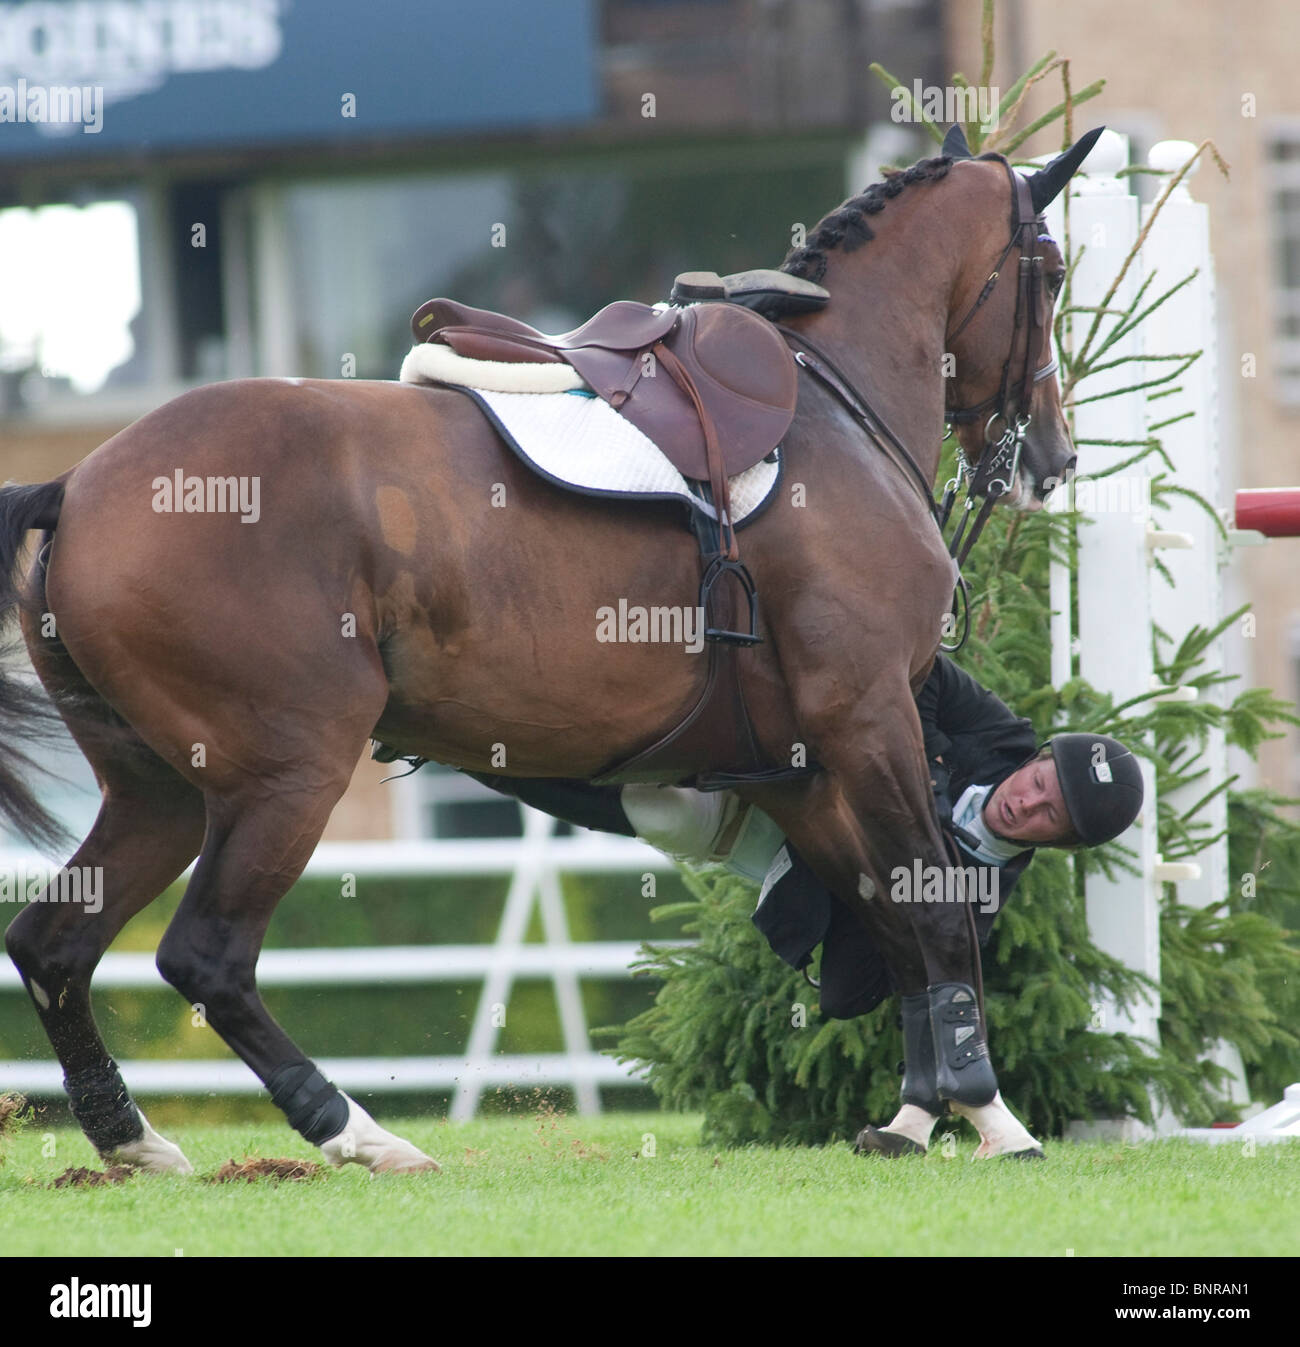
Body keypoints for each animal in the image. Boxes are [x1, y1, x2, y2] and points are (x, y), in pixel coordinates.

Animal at [0, 125, 1098, 1173]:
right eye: (1049, 269)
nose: (1053, 457)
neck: (834, 404)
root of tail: (80, 484)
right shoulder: (868, 719)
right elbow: (934, 906)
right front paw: (989, 1115)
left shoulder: (799, 767)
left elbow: (892, 916)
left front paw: (915, 1114)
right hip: (288, 771)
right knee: (207, 957)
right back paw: (358, 1134)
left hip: (161, 790)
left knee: (54, 943)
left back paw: (131, 1139)